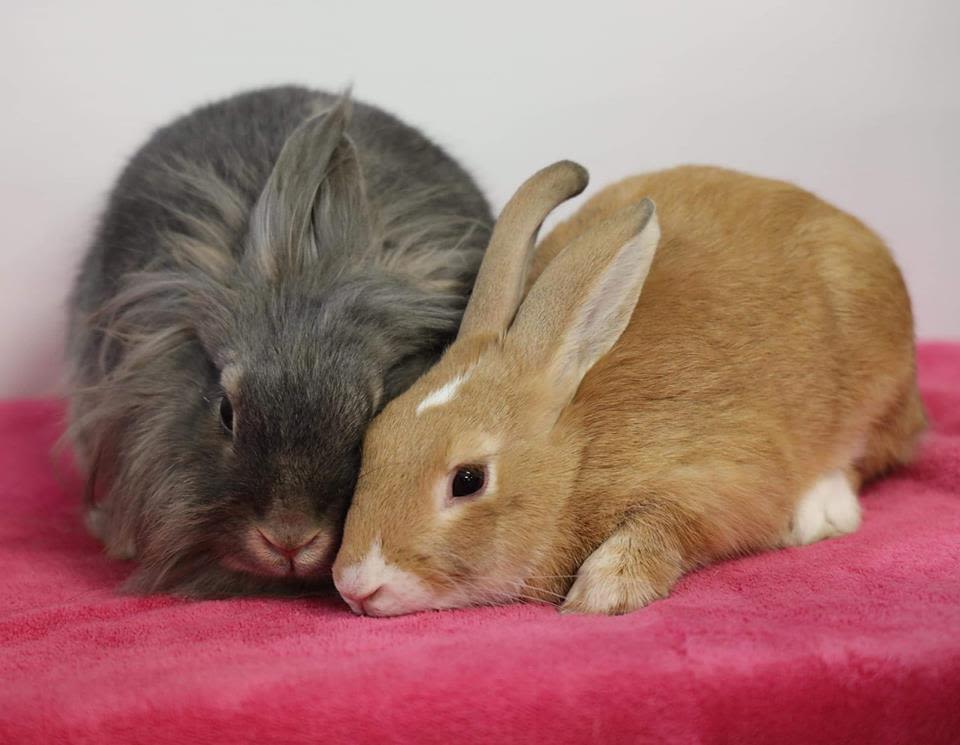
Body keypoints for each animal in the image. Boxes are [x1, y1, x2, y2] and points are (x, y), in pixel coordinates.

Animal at [331, 160, 926, 616]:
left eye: (468, 480)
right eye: (375, 440)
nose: (355, 586)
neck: (576, 458)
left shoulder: (714, 476)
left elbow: (661, 526)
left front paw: (603, 592)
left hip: (876, 385)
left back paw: (819, 513)